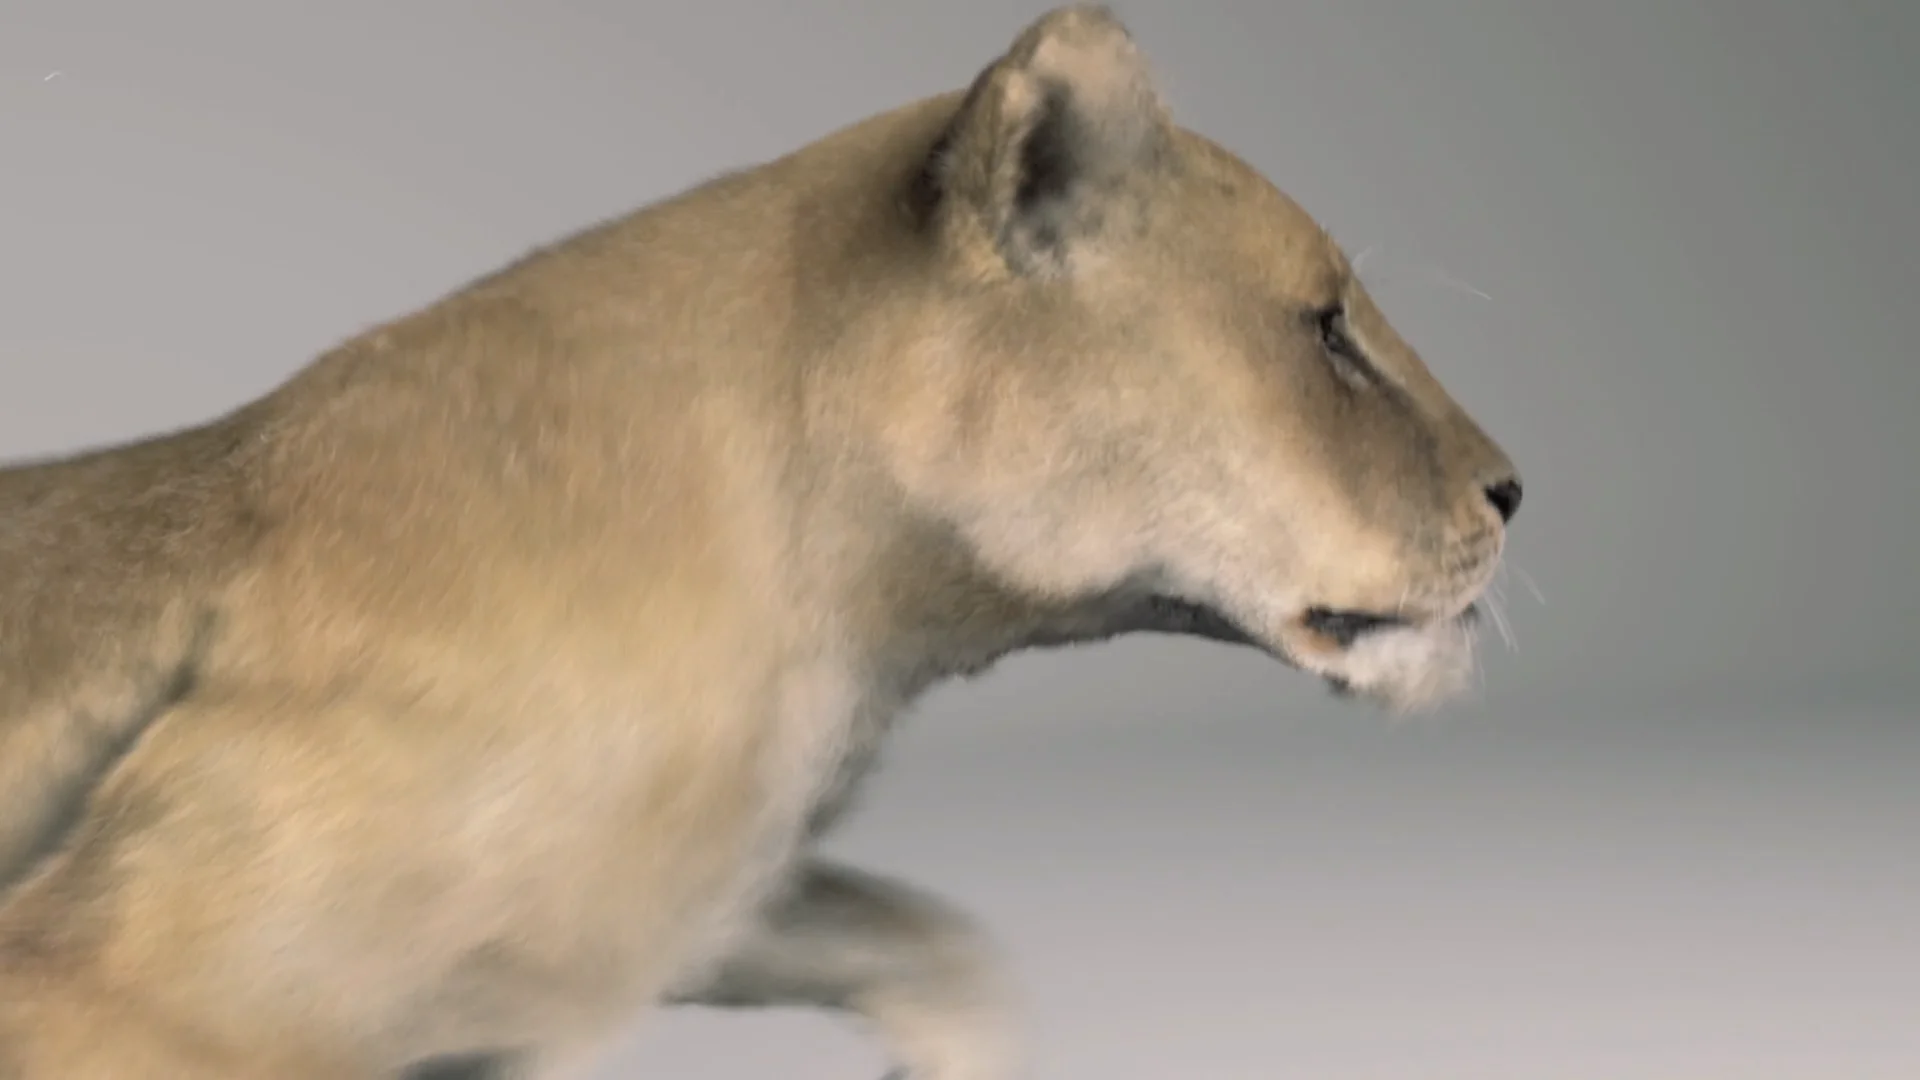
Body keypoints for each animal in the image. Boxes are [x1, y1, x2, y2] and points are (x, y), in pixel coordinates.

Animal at [0, 7, 1522, 1078]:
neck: (855, 614)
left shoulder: (698, 908)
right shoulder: (111, 984)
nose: (1517, 492)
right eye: (1329, 330)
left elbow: (941, 948)